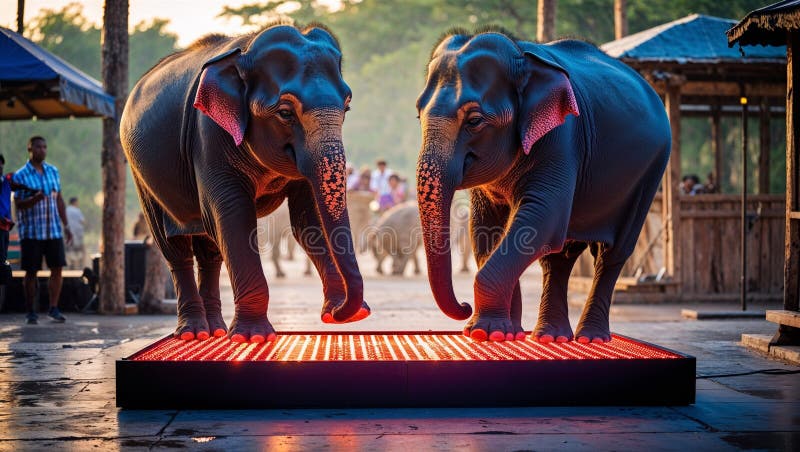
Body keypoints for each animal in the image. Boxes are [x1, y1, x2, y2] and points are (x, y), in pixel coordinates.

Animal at [120, 22, 369, 344]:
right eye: (285, 112)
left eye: (346, 108)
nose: (341, 313)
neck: (246, 50)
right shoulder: (209, 134)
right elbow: (232, 215)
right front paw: (253, 337)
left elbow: (307, 221)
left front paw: (342, 312)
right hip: (140, 175)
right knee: (174, 246)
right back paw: (193, 333)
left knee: (209, 249)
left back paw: (215, 331)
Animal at [415, 28, 670, 343]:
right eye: (418, 114)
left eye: (474, 120)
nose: (463, 307)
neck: (521, 55)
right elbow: (485, 227)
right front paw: (505, 332)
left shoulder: (563, 138)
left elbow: (540, 215)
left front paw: (486, 332)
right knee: (559, 256)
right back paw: (551, 337)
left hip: (651, 171)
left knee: (613, 254)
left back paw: (591, 339)